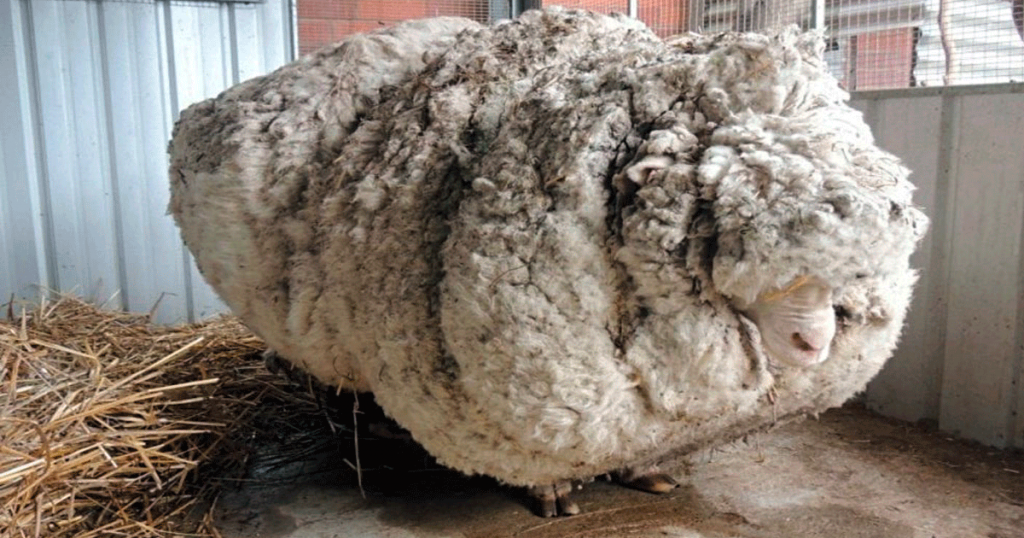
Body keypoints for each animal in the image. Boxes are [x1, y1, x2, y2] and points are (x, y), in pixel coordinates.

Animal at [168, 8, 928, 516]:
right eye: (728, 226)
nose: (813, 342)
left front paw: (644, 473)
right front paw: (554, 491)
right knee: (333, 379)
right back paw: (358, 437)